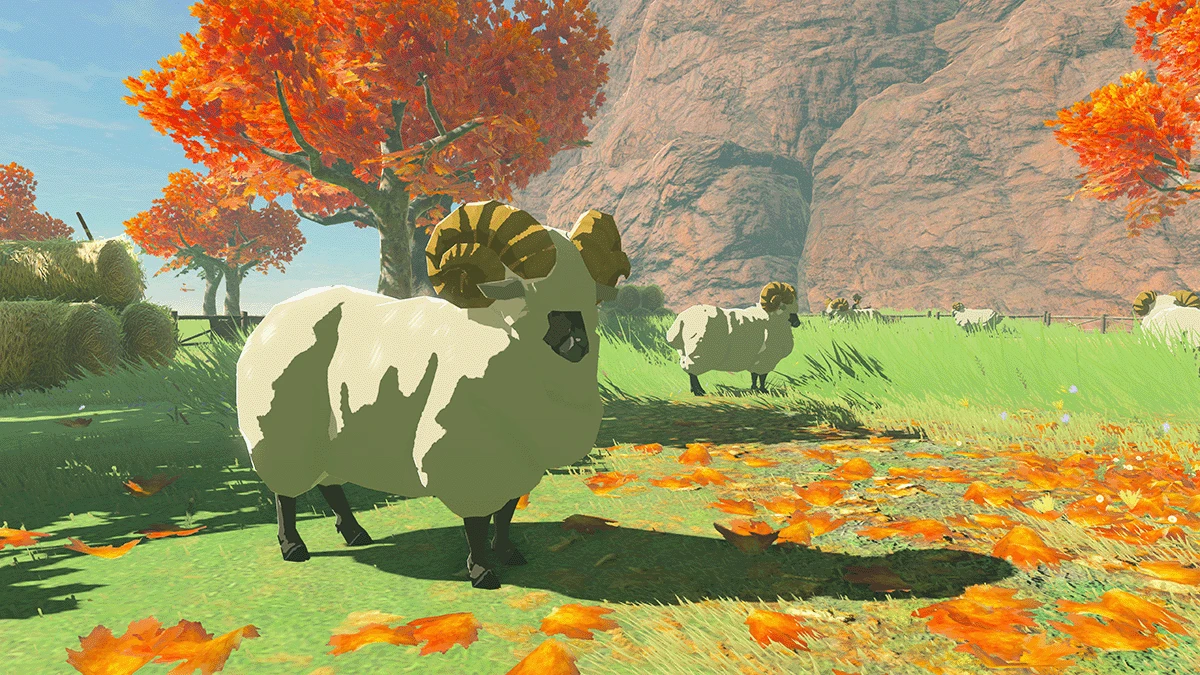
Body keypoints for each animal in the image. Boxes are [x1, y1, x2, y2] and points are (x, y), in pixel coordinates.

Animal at [236, 200, 630, 590]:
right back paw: (293, 545)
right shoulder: (464, 455)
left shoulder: (518, 462)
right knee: (285, 494)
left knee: (330, 486)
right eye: (517, 290)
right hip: (280, 433)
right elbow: (477, 522)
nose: (575, 342)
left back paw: (354, 532)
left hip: (330, 443)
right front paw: (482, 571)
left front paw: (508, 553)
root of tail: (272, 317)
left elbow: (505, 514)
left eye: (589, 293)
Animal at [665, 282, 800, 396]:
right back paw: (699, 392)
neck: (774, 319)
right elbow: (762, 376)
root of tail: (681, 320)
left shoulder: (756, 359)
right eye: (784, 306)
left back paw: (696, 390)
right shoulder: (765, 359)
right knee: (692, 371)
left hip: (684, 351)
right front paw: (763, 390)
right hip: (697, 352)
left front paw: (754, 389)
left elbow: (754, 376)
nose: (797, 323)